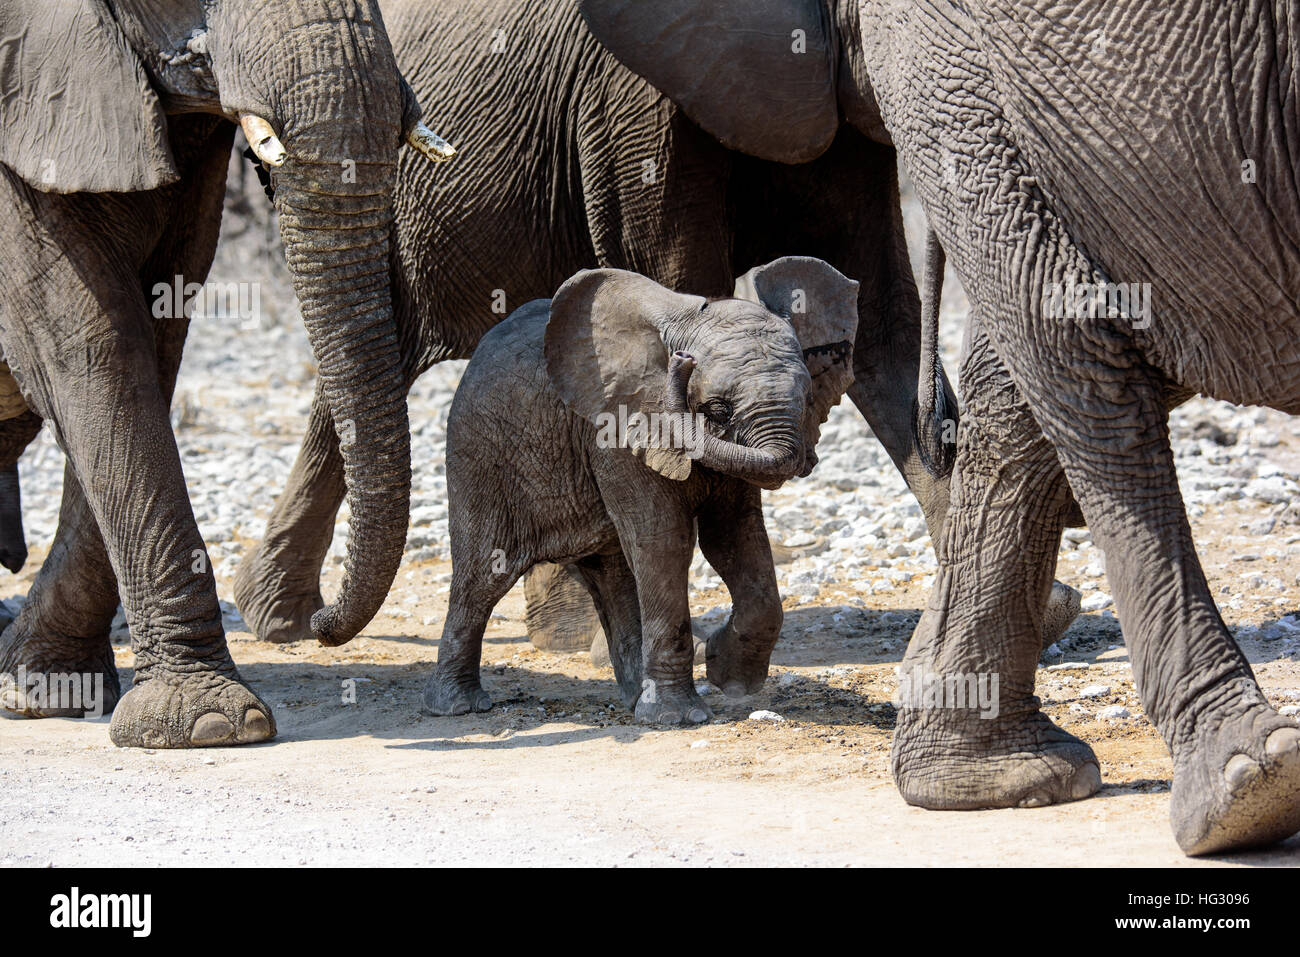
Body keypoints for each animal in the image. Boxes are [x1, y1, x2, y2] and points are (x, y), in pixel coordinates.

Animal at [230, 0, 1081, 654]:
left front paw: (1045, 620)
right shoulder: (636, 107)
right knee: (382, 344)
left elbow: (880, 321)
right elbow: (681, 284)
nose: (945, 432)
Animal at [425, 258, 860, 723]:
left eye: (809, 397)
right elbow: (665, 540)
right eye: (717, 409)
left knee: (612, 575)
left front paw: (729, 679)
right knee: (485, 572)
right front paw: (678, 717)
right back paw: (458, 706)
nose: (682, 362)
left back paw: (635, 699)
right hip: (481, 452)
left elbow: (734, 538)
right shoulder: (616, 429)